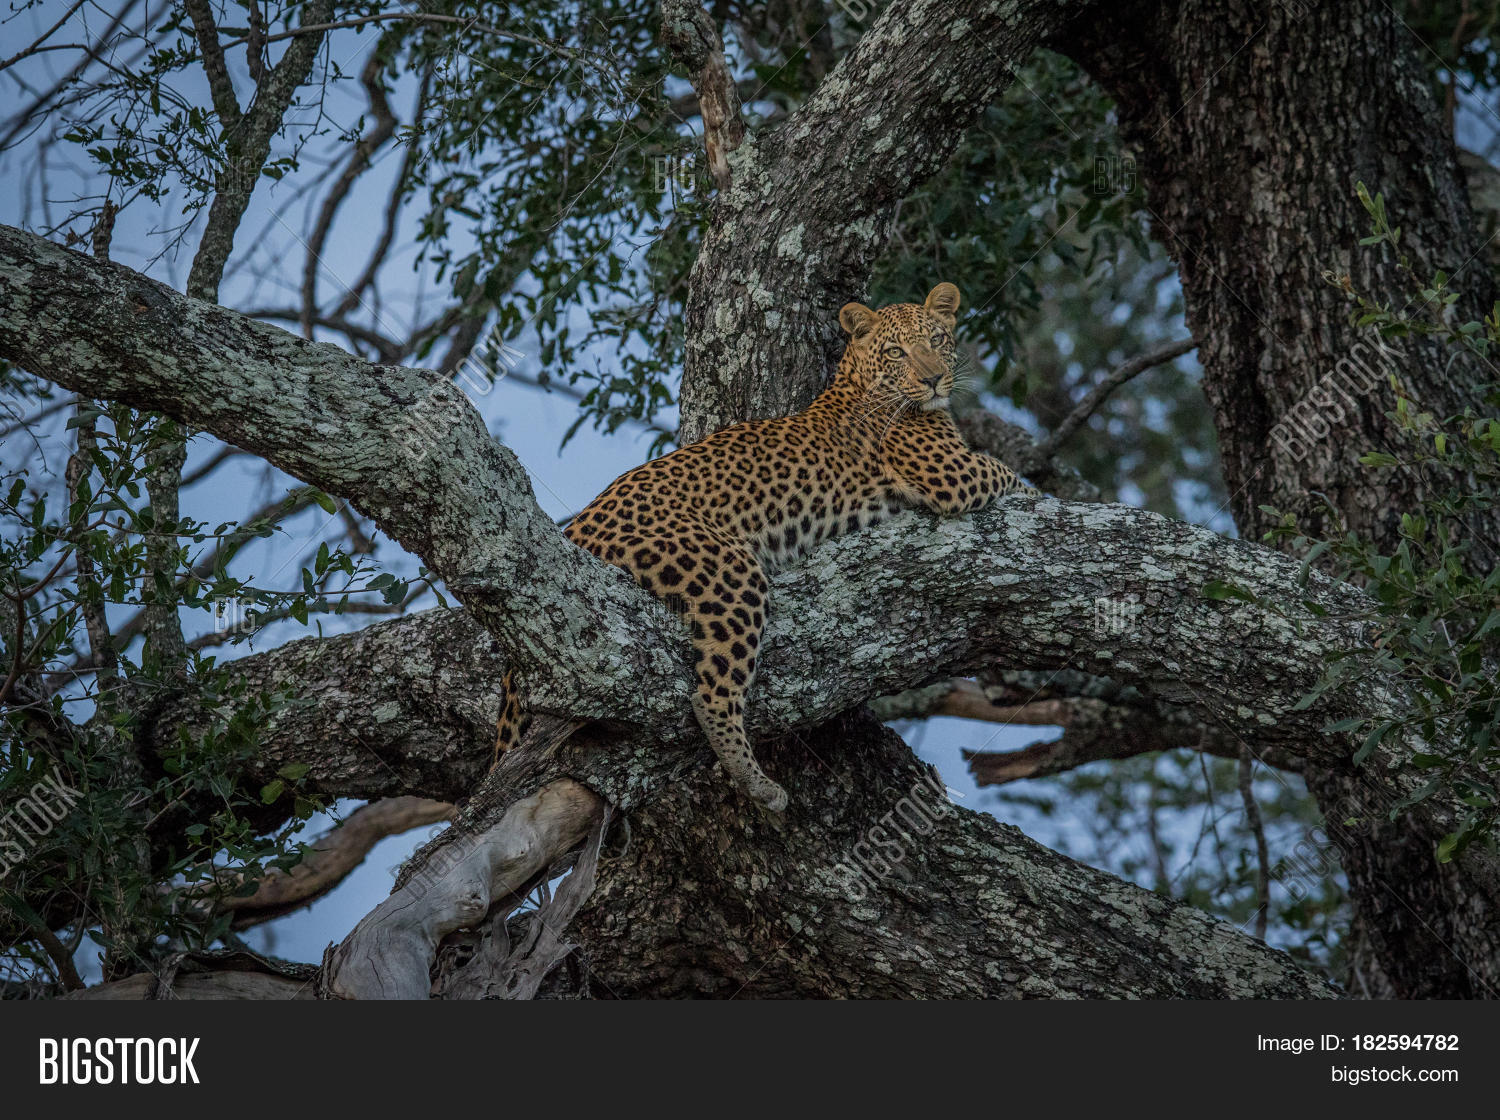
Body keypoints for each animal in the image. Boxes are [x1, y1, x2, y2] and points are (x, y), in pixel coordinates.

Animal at [493, 282, 1032, 811]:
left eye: (937, 340)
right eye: (897, 352)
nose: (935, 379)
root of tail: (577, 526)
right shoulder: (954, 475)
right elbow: (1011, 475)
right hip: (730, 571)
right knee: (711, 694)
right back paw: (758, 784)